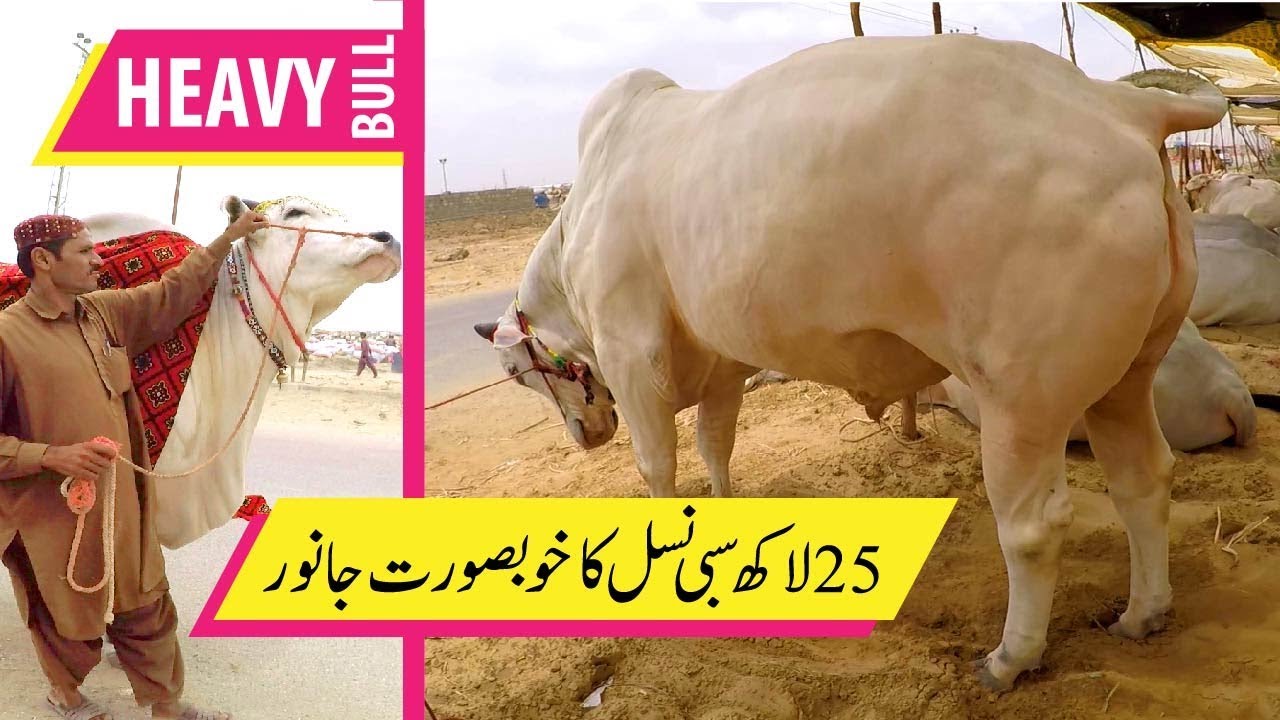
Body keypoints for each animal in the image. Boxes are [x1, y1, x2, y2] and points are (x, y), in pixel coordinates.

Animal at [474, 36, 1225, 690]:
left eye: (517, 374)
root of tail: (1118, 106)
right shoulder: (724, 373)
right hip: (1127, 379)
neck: (579, 222)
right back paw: (1142, 614)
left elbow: (657, 468)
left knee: (1035, 526)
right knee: (1143, 479)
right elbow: (716, 448)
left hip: (1022, 399)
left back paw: (1010, 659)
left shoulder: (633, 362)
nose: (584, 435)